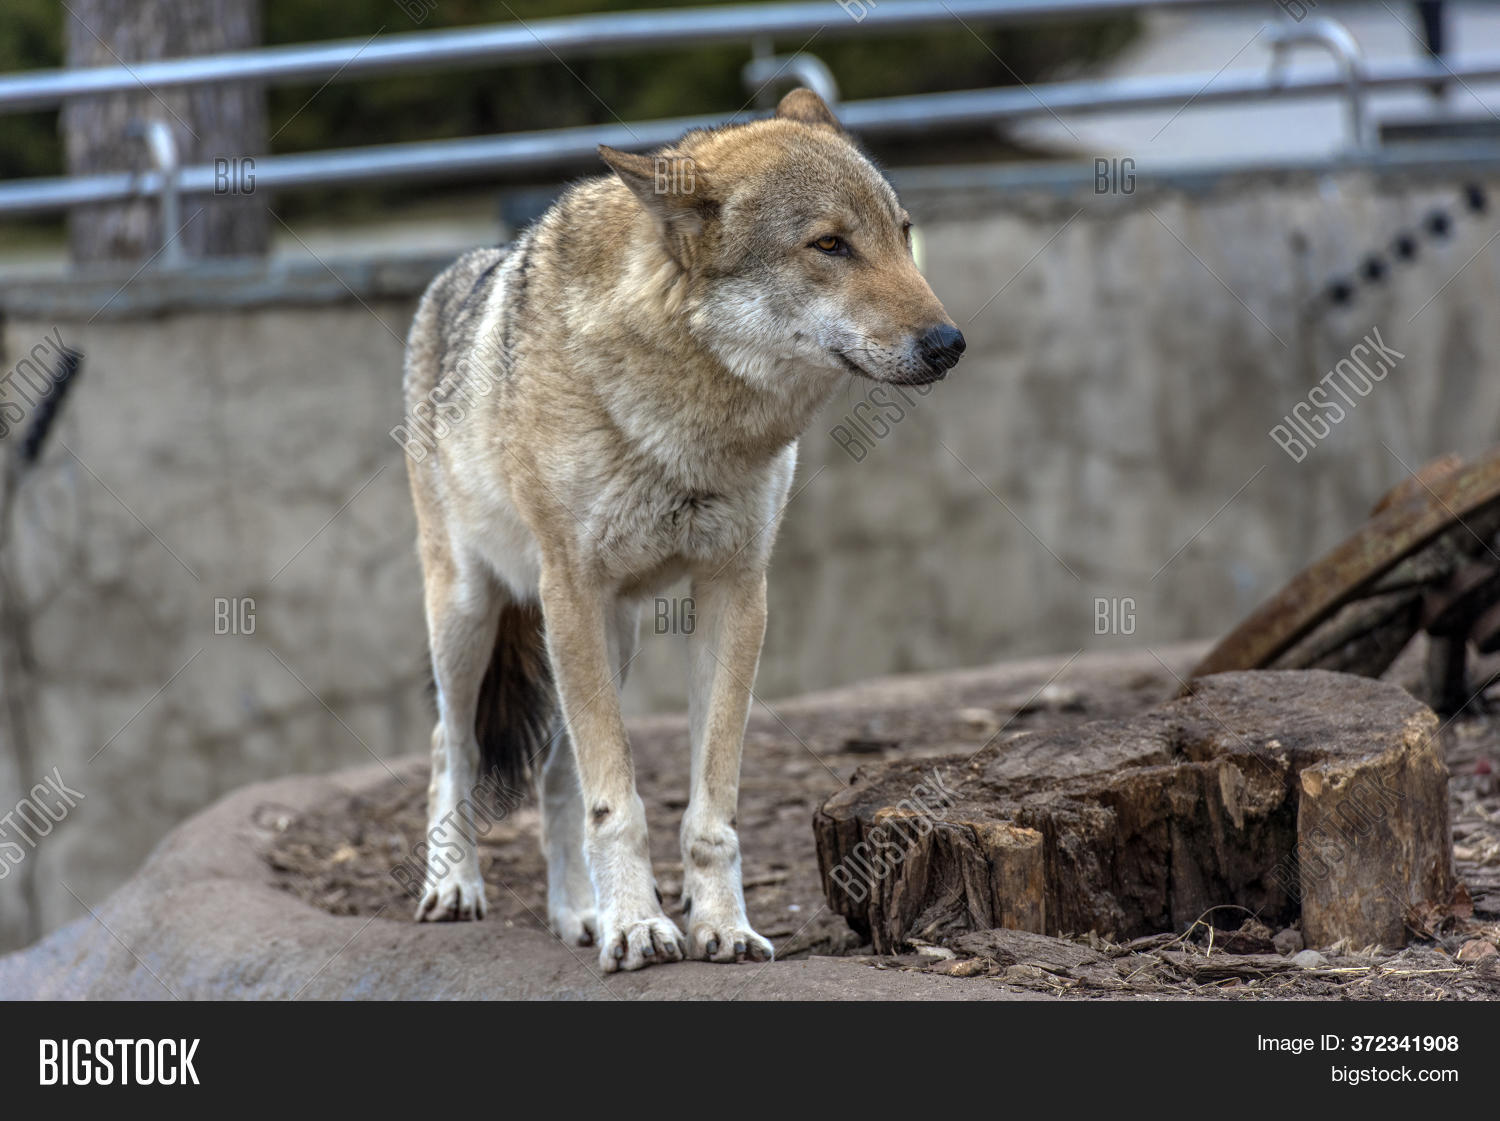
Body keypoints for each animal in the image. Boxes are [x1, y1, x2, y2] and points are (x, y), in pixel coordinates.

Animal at [401, 88, 964, 972]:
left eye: (901, 233)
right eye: (830, 245)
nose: (949, 343)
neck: (694, 416)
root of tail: (454, 276)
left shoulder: (736, 590)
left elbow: (709, 807)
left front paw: (718, 926)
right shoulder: (572, 589)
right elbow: (618, 800)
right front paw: (639, 925)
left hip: (614, 632)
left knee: (556, 776)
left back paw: (577, 914)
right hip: (474, 616)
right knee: (446, 748)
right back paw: (456, 888)